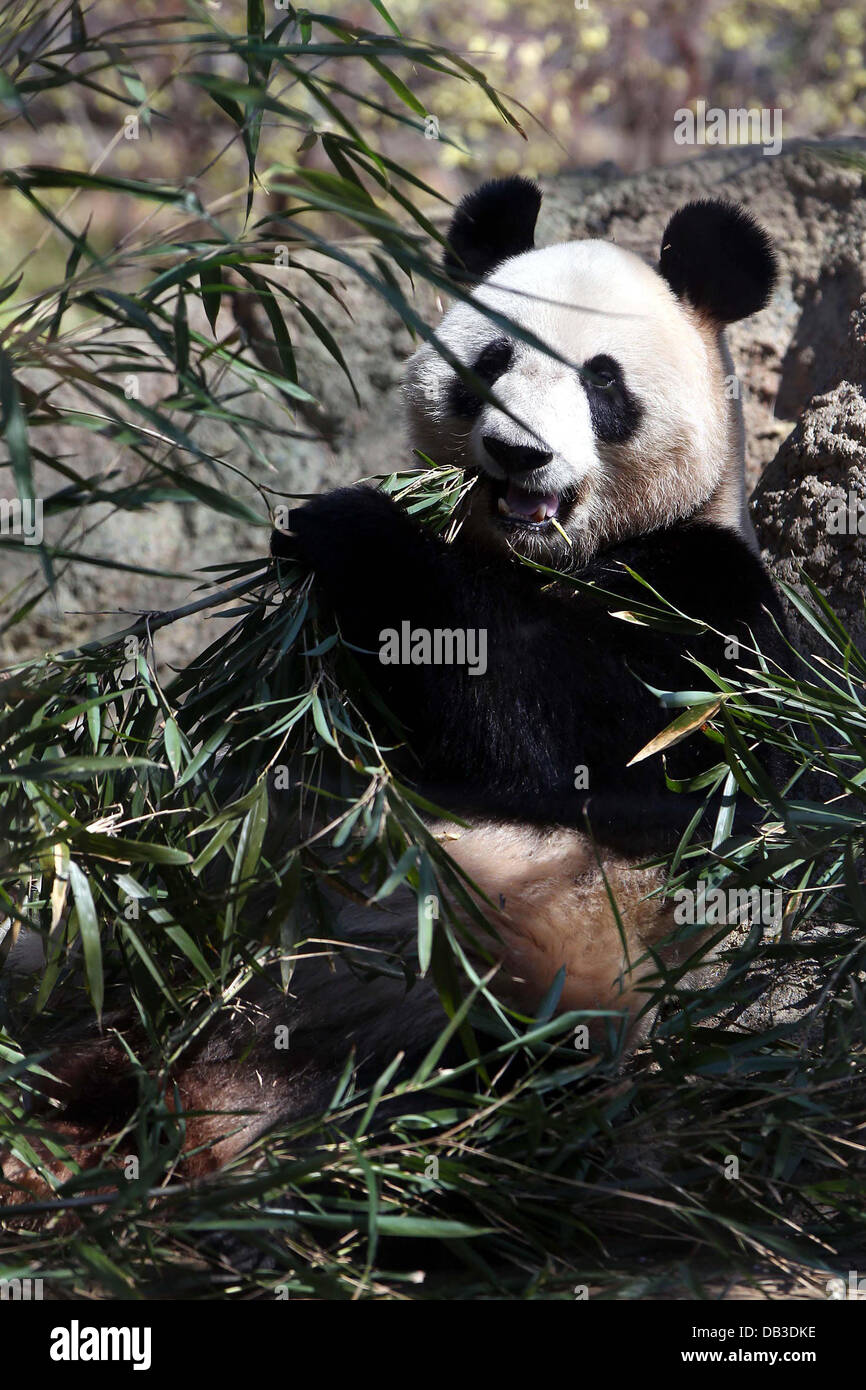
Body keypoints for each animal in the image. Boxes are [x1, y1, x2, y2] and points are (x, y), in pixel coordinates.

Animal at [1, 178, 787, 1199]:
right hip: (111, 961)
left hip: (494, 994)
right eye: (490, 361)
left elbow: (625, 749)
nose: (519, 453)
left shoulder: (706, 598)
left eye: (603, 383)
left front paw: (353, 530)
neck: (534, 559)